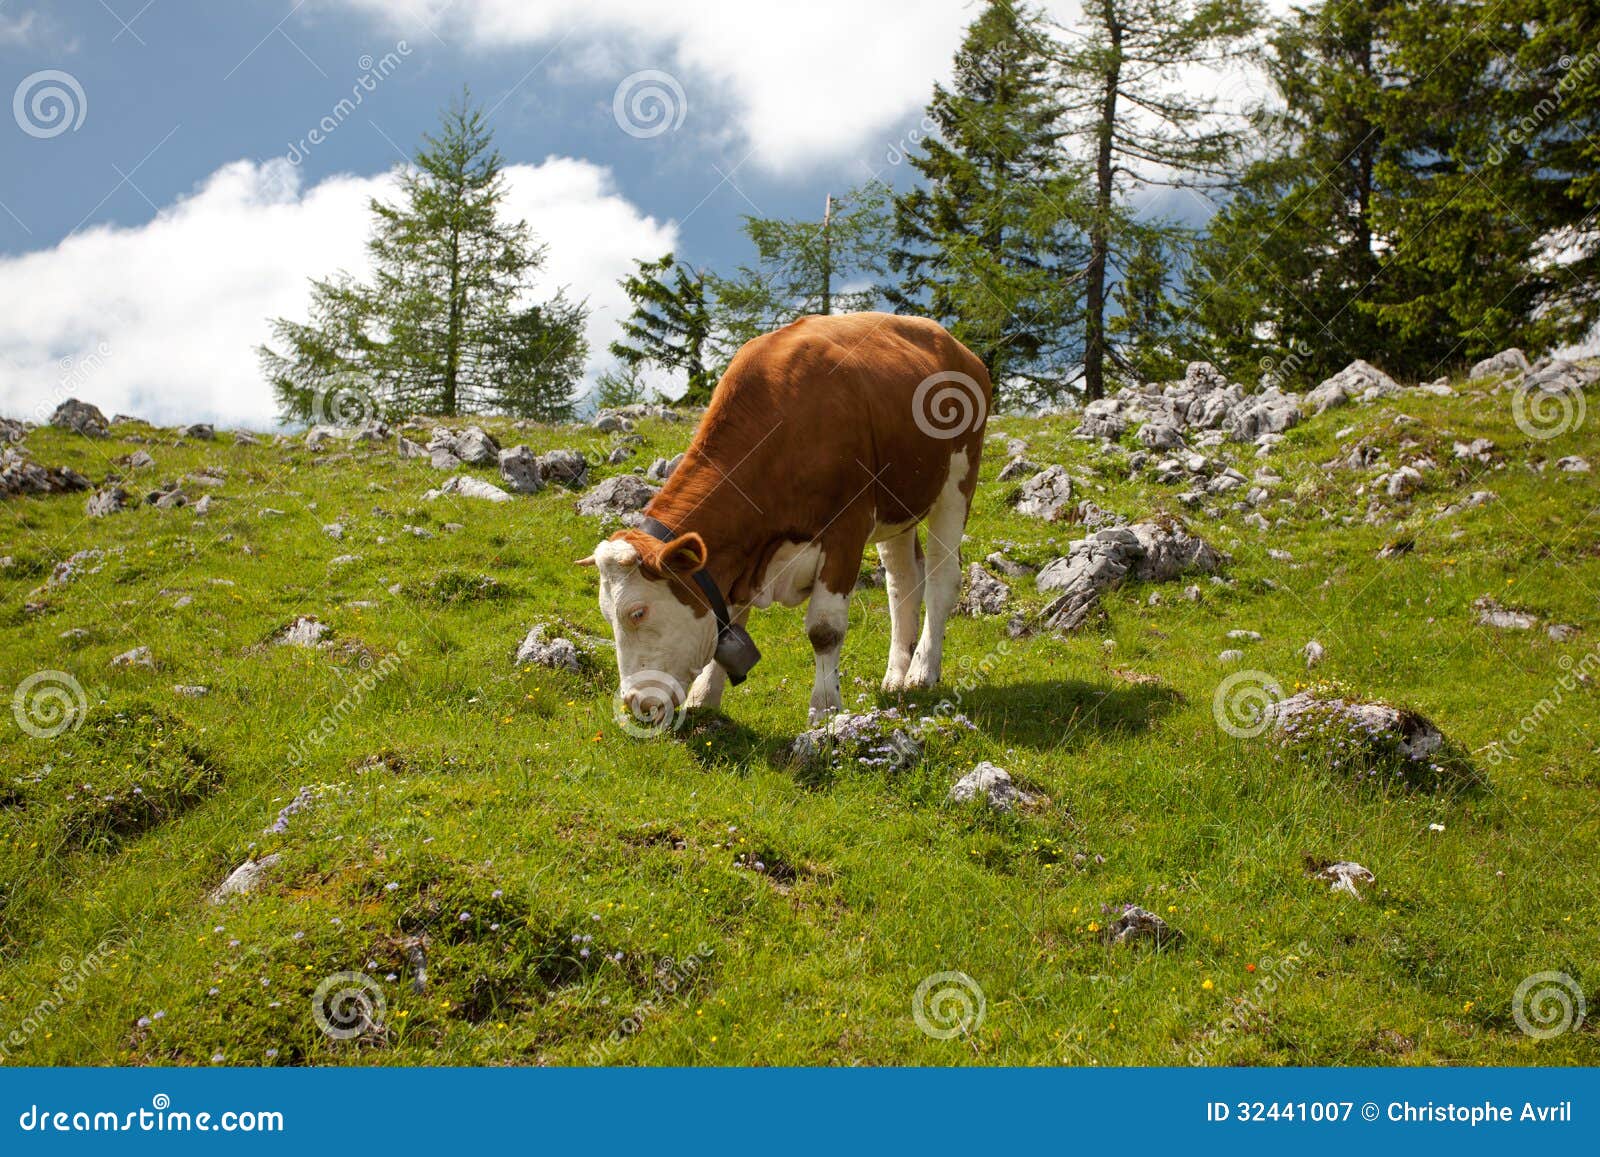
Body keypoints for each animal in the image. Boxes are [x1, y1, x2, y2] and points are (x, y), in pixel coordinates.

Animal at [578, 312, 991, 730]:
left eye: (637, 613)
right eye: (606, 614)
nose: (633, 703)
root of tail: (957, 346)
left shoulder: (846, 529)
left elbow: (824, 630)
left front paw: (824, 710)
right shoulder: (741, 557)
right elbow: (731, 621)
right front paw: (704, 698)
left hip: (957, 480)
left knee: (941, 578)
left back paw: (923, 672)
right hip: (899, 506)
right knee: (903, 582)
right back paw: (896, 676)